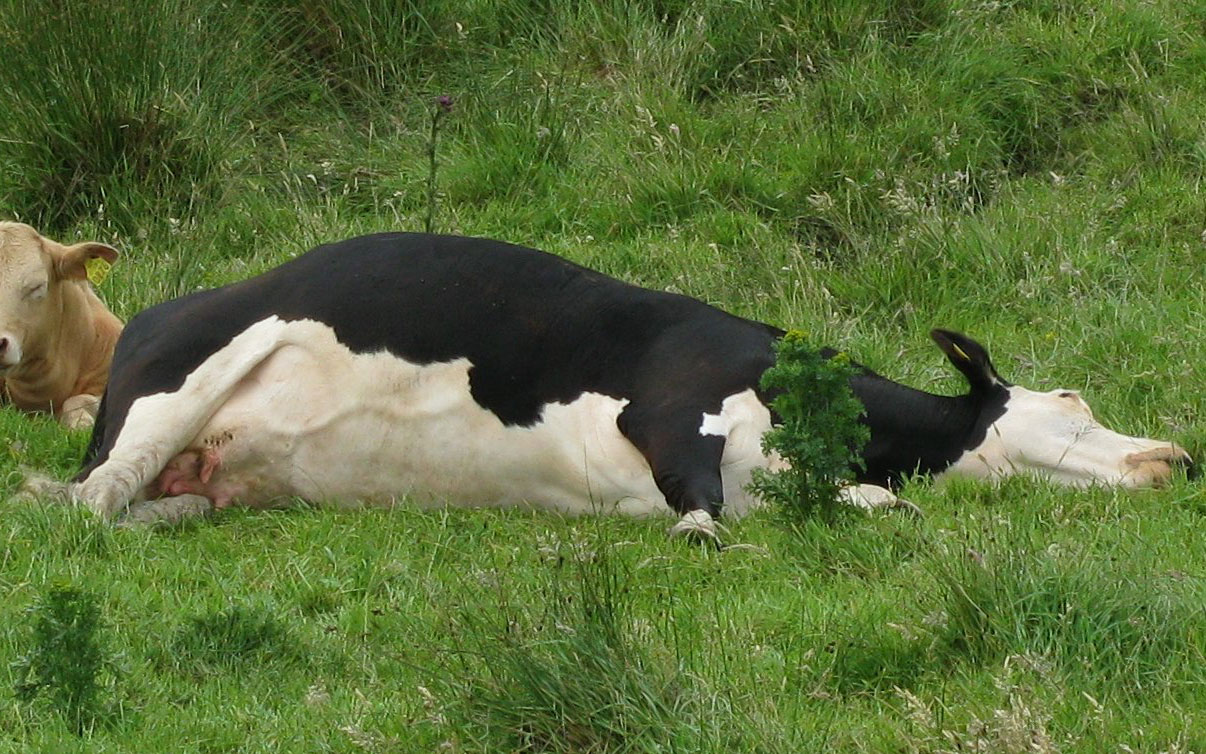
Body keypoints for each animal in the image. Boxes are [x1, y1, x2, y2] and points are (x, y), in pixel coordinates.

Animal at [26, 233, 1190, 536]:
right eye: (1074, 402)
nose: (1178, 456)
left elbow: (868, 504)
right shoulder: (673, 400)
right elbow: (697, 494)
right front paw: (699, 532)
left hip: (209, 474)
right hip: (182, 377)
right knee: (84, 502)